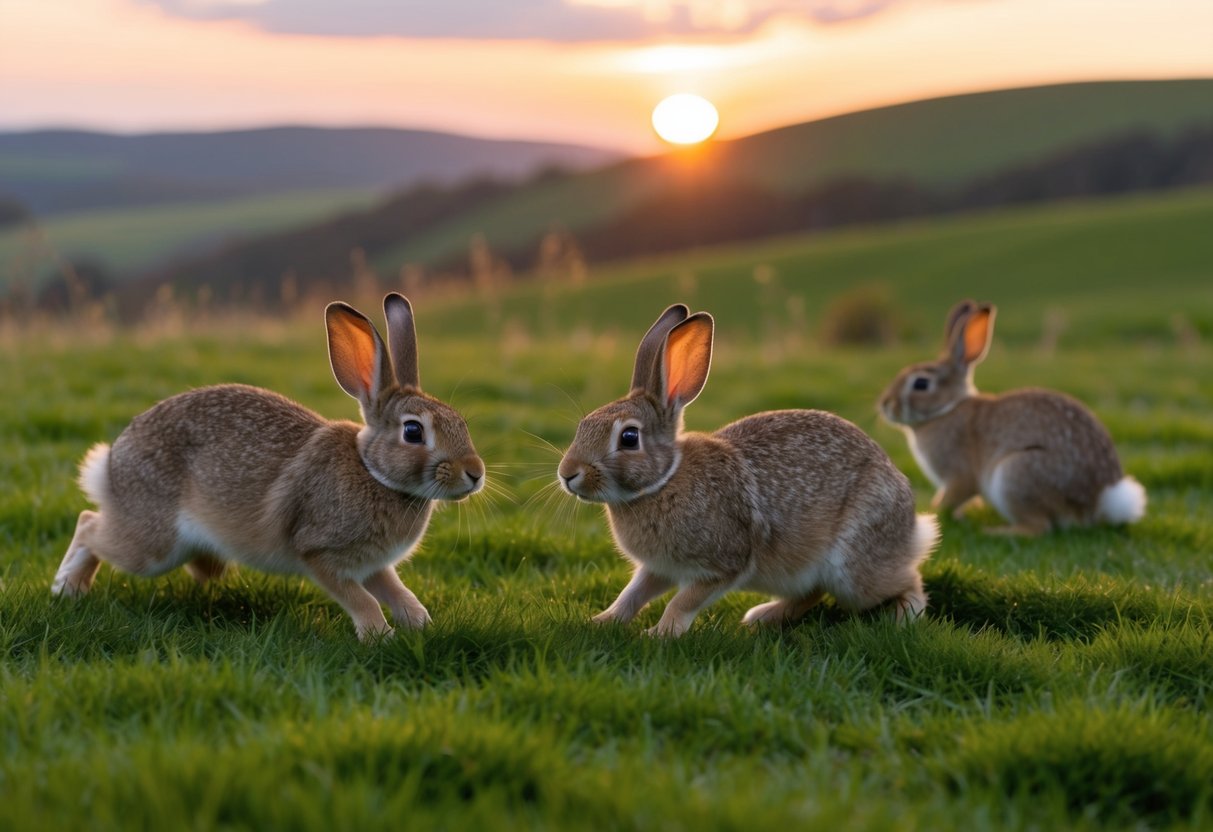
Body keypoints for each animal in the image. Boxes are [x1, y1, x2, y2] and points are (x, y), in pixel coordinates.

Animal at [52, 293, 485, 640]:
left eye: (461, 423)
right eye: (413, 431)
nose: (475, 473)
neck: (372, 471)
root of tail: (112, 463)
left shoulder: (374, 565)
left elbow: (397, 592)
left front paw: (420, 624)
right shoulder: (319, 553)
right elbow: (361, 600)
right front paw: (380, 637)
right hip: (153, 546)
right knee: (90, 525)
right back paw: (66, 587)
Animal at [557, 304, 939, 637]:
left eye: (629, 437)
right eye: (583, 425)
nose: (567, 473)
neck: (663, 482)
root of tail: (909, 519)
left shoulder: (725, 564)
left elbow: (682, 601)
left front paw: (660, 634)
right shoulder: (657, 567)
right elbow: (633, 594)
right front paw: (600, 621)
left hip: (853, 568)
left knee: (907, 580)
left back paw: (903, 616)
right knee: (812, 592)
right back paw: (762, 616)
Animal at [878, 299, 1145, 536]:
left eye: (921, 384)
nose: (884, 404)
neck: (948, 409)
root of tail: (1098, 502)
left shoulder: (960, 474)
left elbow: (953, 496)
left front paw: (936, 512)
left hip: (1014, 475)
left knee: (1038, 528)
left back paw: (996, 532)